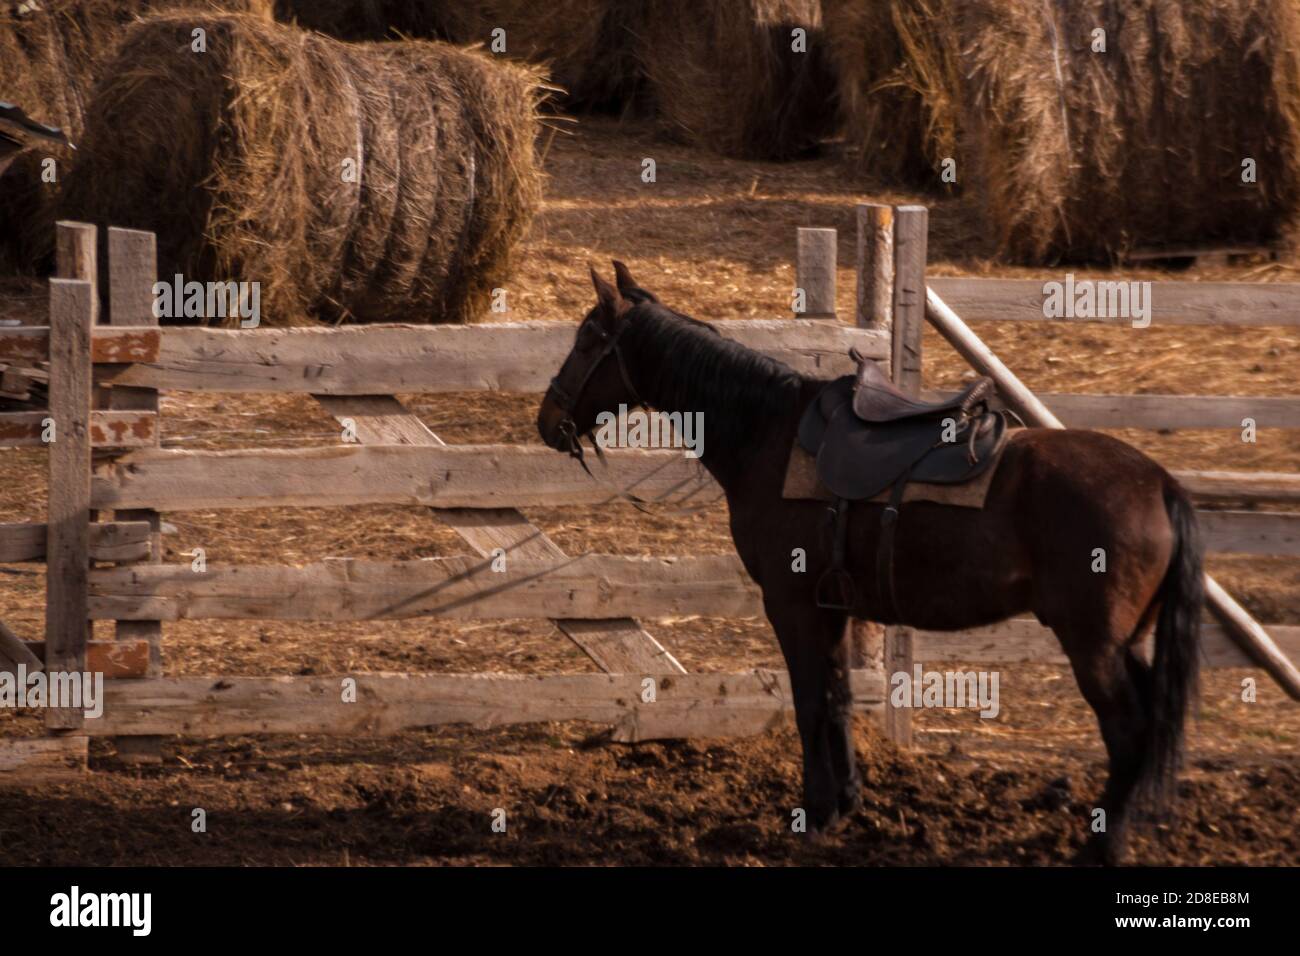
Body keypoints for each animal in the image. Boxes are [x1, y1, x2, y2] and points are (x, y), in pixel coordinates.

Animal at [537, 262, 1203, 865]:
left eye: (588, 339)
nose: (548, 420)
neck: (766, 433)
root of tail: (1160, 484)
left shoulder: (792, 605)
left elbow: (810, 704)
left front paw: (814, 816)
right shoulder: (830, 609)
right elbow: (836, 697)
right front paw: (846, 803)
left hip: (1093, 645)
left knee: (1128, 730)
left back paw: (1104, 845)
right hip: (1125, 643)